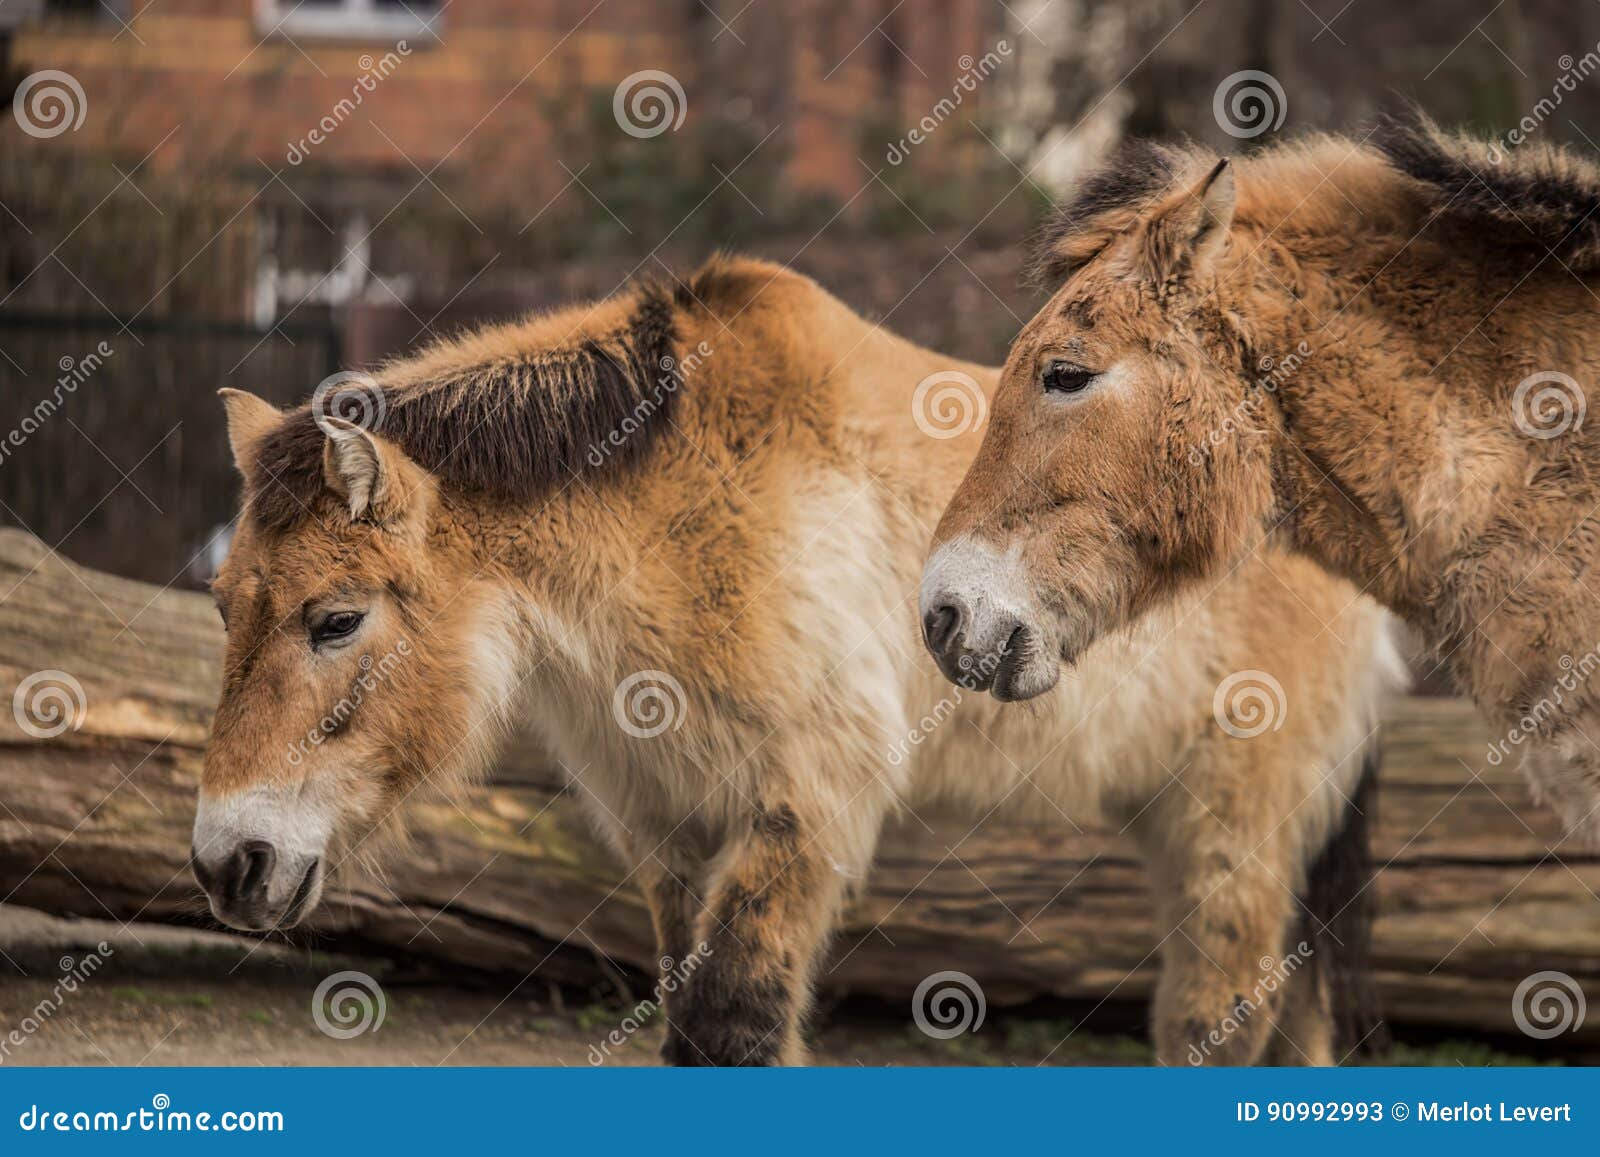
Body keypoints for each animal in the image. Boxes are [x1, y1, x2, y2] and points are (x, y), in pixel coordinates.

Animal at [192, 255, 1403, 1065]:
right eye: (222, 604)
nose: (227, 863)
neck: (672, 514)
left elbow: (732, 1025)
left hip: (1234, 826)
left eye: (335, 620)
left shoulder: (802, 805)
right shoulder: (669, 824)